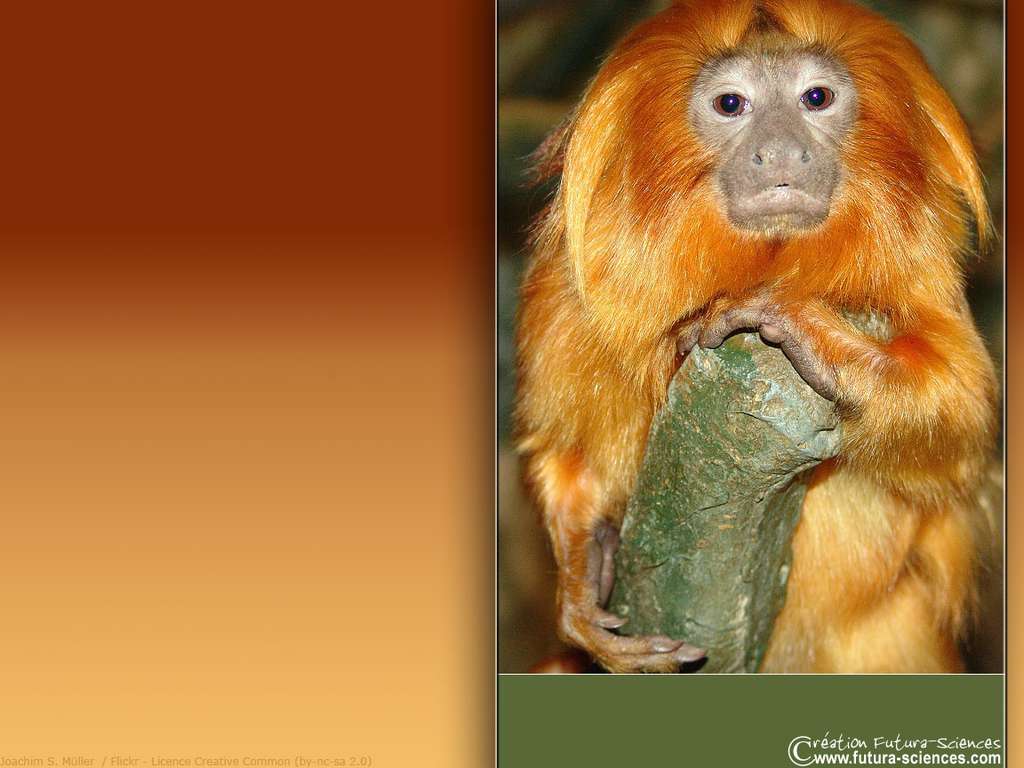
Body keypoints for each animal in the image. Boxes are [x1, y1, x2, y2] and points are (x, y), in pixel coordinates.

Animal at [514, 0, 997, 673]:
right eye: (731, 104)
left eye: (815, 97)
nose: (782, 153)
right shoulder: (571, 289)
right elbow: (564, 449)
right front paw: (584, 578)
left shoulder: (918, 270)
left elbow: (959, 426)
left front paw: (812, 335)